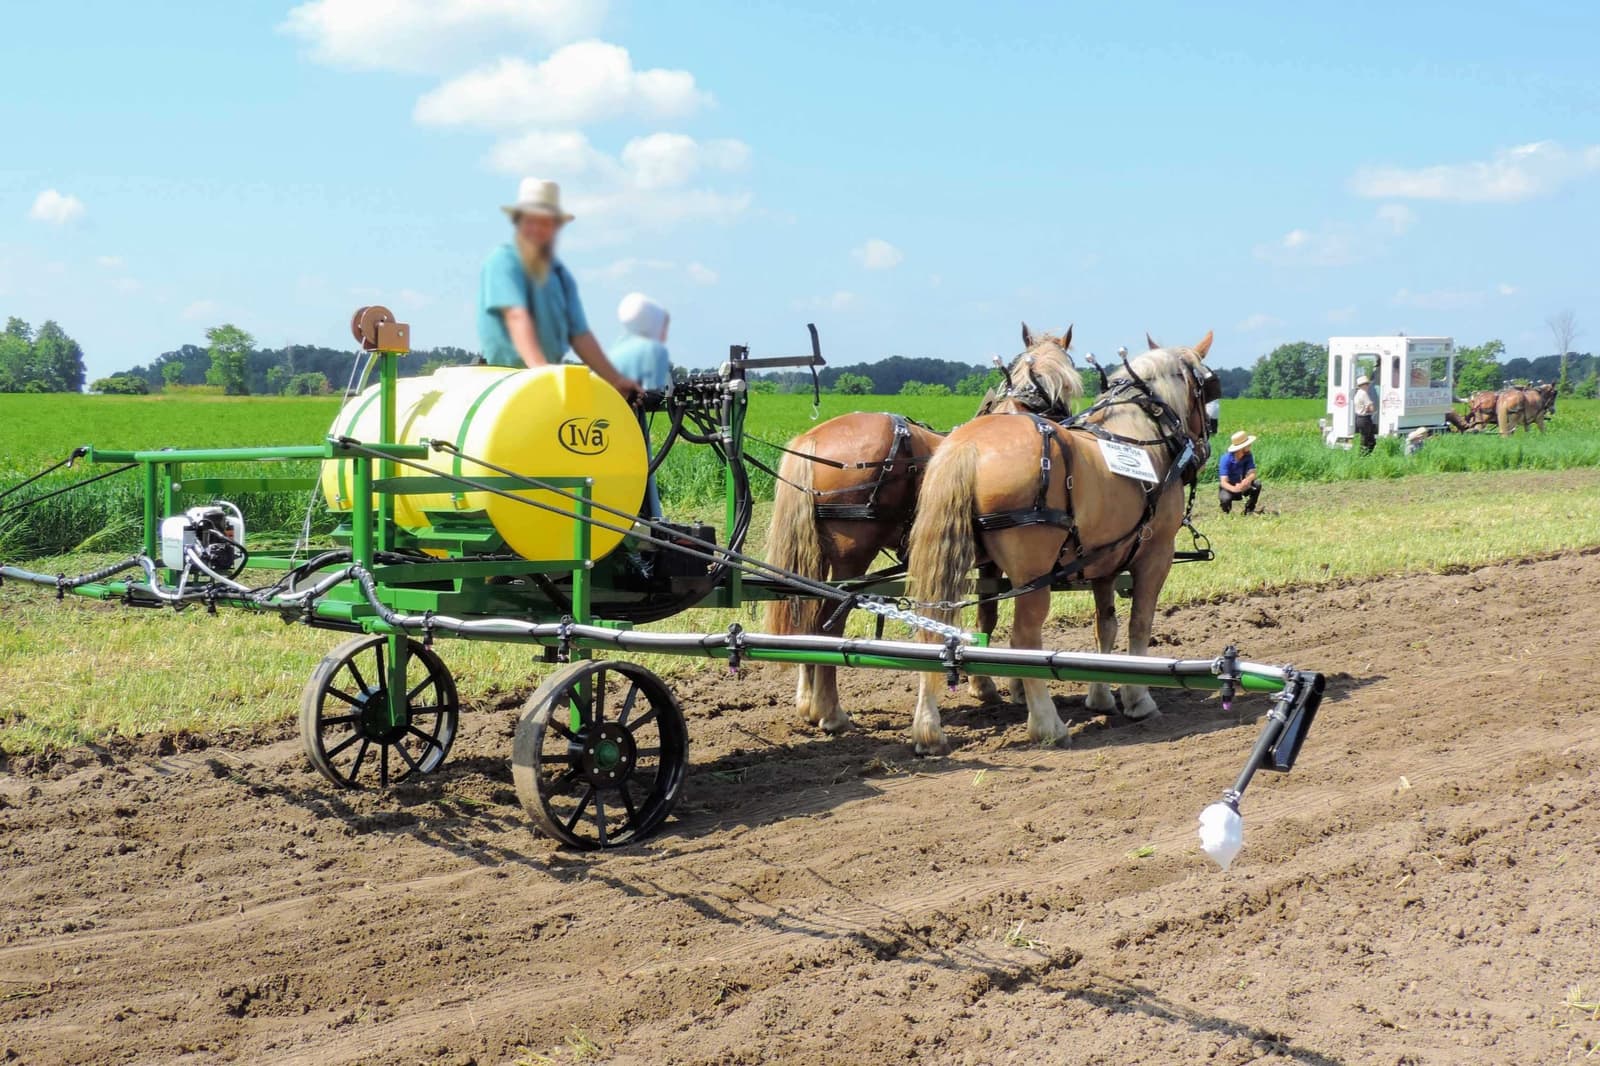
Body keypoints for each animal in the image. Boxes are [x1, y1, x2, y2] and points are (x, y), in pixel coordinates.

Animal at [764, 325, 1082, 732]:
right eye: (1069, 380)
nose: (1067, 423)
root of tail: (812, 439)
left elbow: (986, 616)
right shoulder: (998, 558)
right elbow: (991, 616)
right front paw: (992, 685)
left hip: (816, 556)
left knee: (806, 615)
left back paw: (807, 703)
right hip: (853, 556)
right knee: (827, 624)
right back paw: (831, 712)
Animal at [904, 333, 1218, 755]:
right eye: (1207, 386)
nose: (1204, 447)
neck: (1141, 433)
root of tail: (966, 447)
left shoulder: (1104, 562)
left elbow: (1106, 627)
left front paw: (1101, 697)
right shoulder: (1155, 556)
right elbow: (1139, 624)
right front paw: (1138, 699)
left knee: (932, 627)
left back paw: (928, 731)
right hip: (1032, 573)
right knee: (1024, 638)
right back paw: (1047, 725)